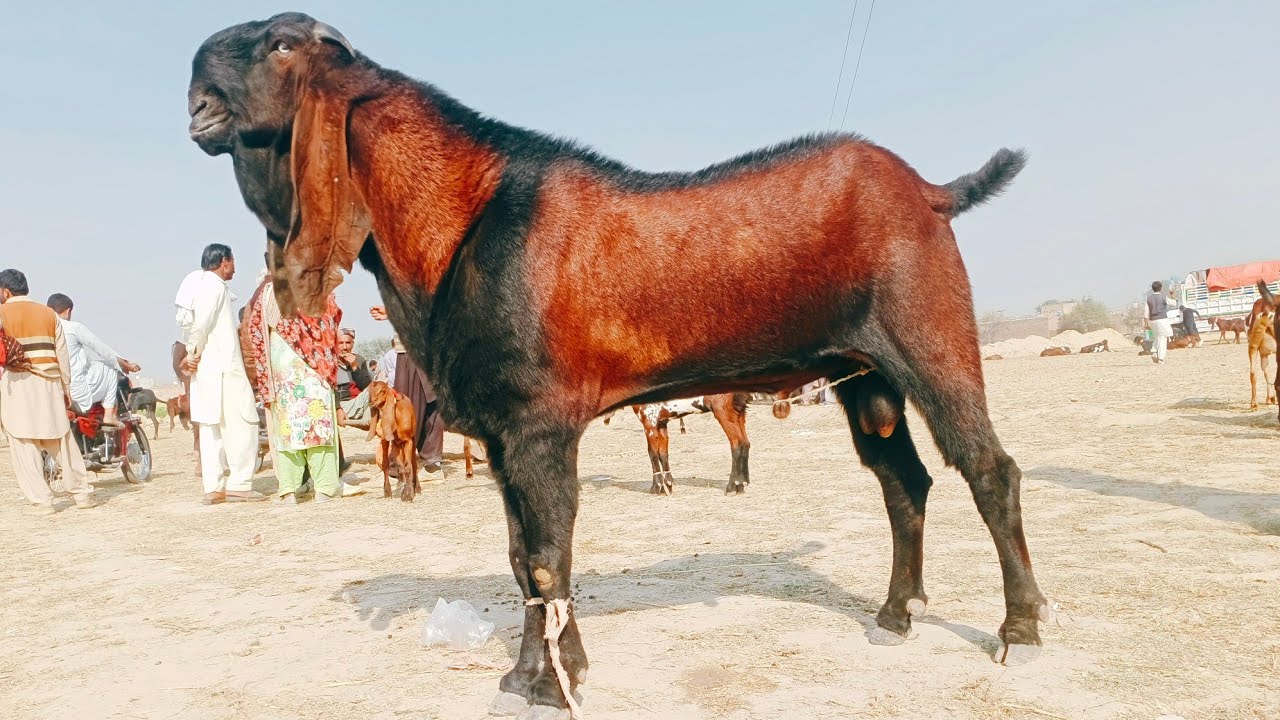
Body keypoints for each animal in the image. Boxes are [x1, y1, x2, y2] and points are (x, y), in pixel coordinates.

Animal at [189, 14, 1049, 712]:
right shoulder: (503, 438)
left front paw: (556, 681)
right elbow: (518, 559)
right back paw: (897, 615)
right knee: (903, 483)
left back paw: (1021, 628)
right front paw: (524, 675)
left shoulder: (541, 427)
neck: (464, 217)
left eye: (280, 43)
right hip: (863, 373)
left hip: (930, 335)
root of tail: (930, 191)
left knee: (989, 469)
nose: (196, 96)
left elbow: (546, 559)